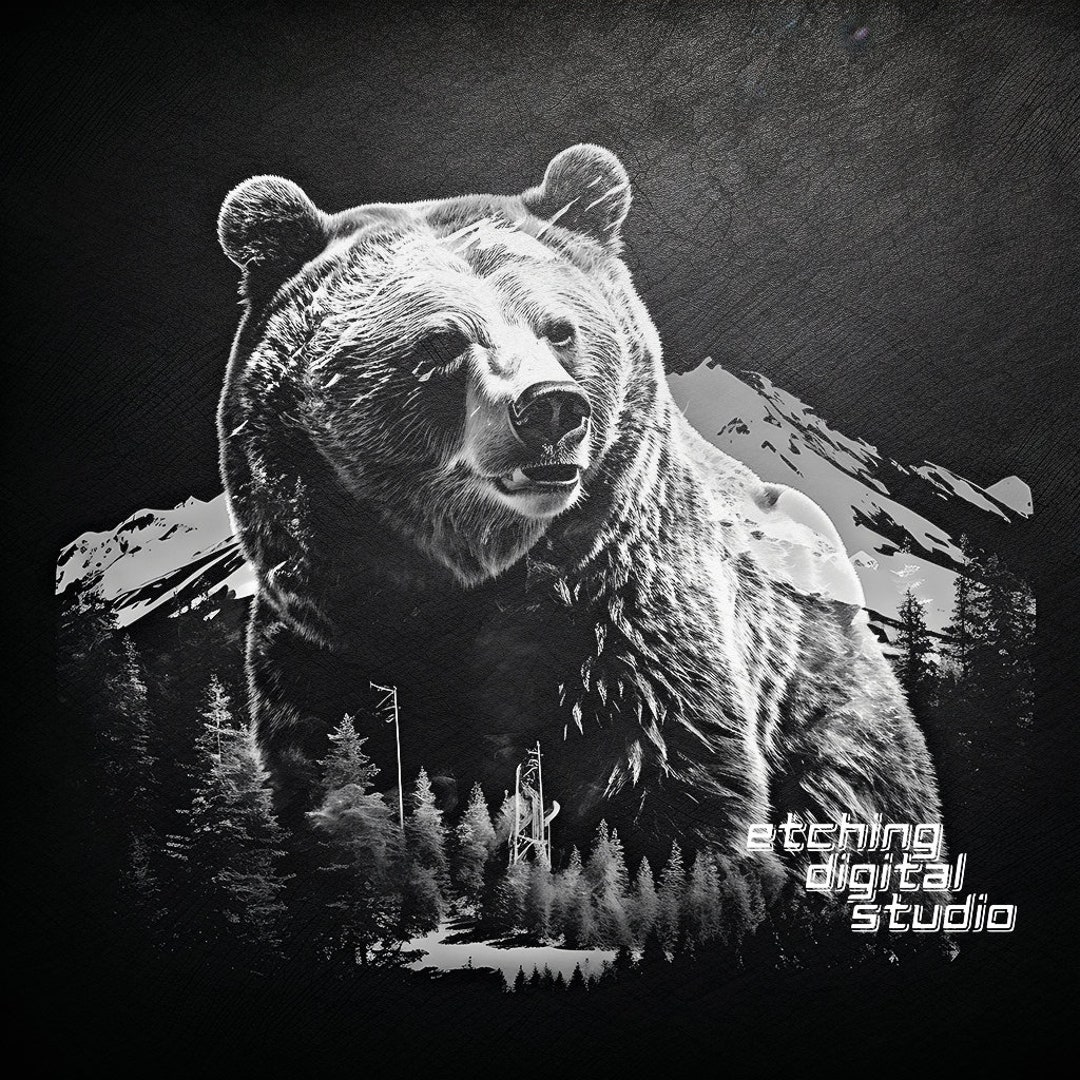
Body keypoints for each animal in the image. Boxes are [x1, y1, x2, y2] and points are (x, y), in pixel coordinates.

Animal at [216, 144, 942, 878]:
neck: (469, 585)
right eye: (439, 345)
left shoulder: (628, 632)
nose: (551, 407)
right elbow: (334, 775)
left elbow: (672, 790)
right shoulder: (326, 644)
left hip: (818, 694)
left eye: (560, 329)